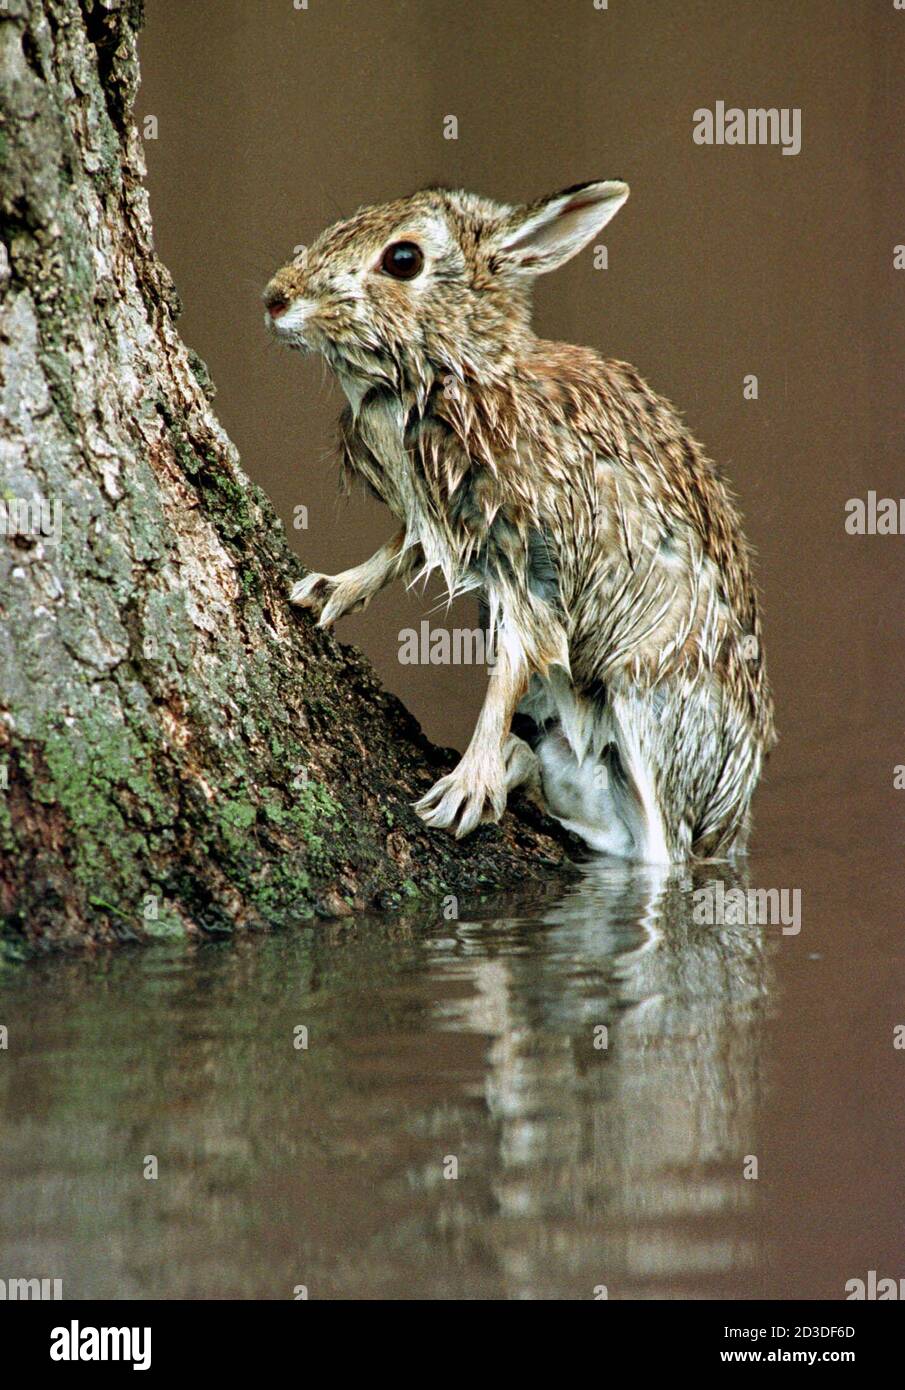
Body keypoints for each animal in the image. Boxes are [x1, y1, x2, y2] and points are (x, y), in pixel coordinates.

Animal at [263, 181, 775, 862]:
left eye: (402, 260)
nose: (276, 299)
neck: (457, 370)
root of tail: (728, 829)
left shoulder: (528, 555)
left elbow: (511, 664)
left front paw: (463, 792)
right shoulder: (445, 517)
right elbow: (398, 552)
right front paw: (322, 593)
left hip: (650, 703)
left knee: (655, 840)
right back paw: (515, 764)